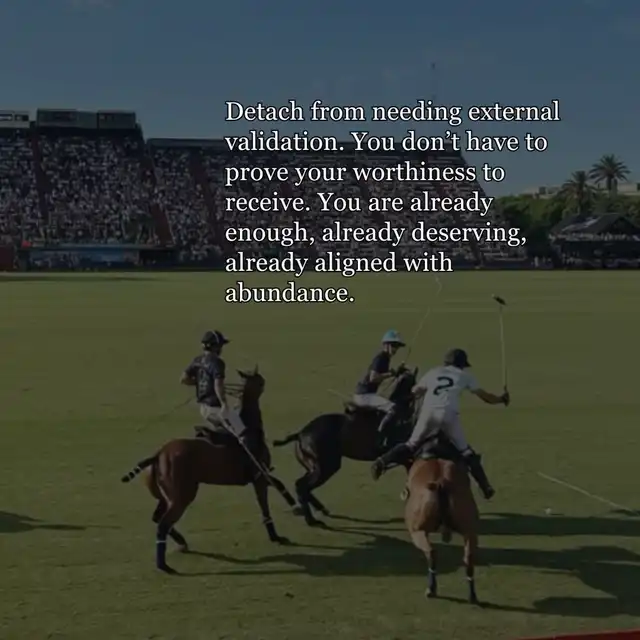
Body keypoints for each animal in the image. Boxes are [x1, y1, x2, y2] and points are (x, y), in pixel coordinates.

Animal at [120, 367, 292, 573]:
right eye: (259, 380)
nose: (265, 382)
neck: (249, 425)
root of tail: (158, 453)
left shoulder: (260, 476)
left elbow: (279, 485)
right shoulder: (259, 476)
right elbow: (266, 504)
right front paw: (276, 535)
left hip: (164, 496)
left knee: (157, 518)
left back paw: (182, 543)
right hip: (182, 496)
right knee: (162, 524)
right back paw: (164, 565)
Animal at [273, 369, 418, 526]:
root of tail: (300, 434)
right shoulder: (402, 454)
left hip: (313, 466)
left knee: (302, 486)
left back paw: (321, 510)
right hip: (326, 467)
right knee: (302, 486)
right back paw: (311, 520)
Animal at [404, 436, 480, 604]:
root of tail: (441, 482)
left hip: (417, 531)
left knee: (432, 552)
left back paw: (431, 589)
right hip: (470, 530)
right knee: (469, 558)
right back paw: (472, 595)